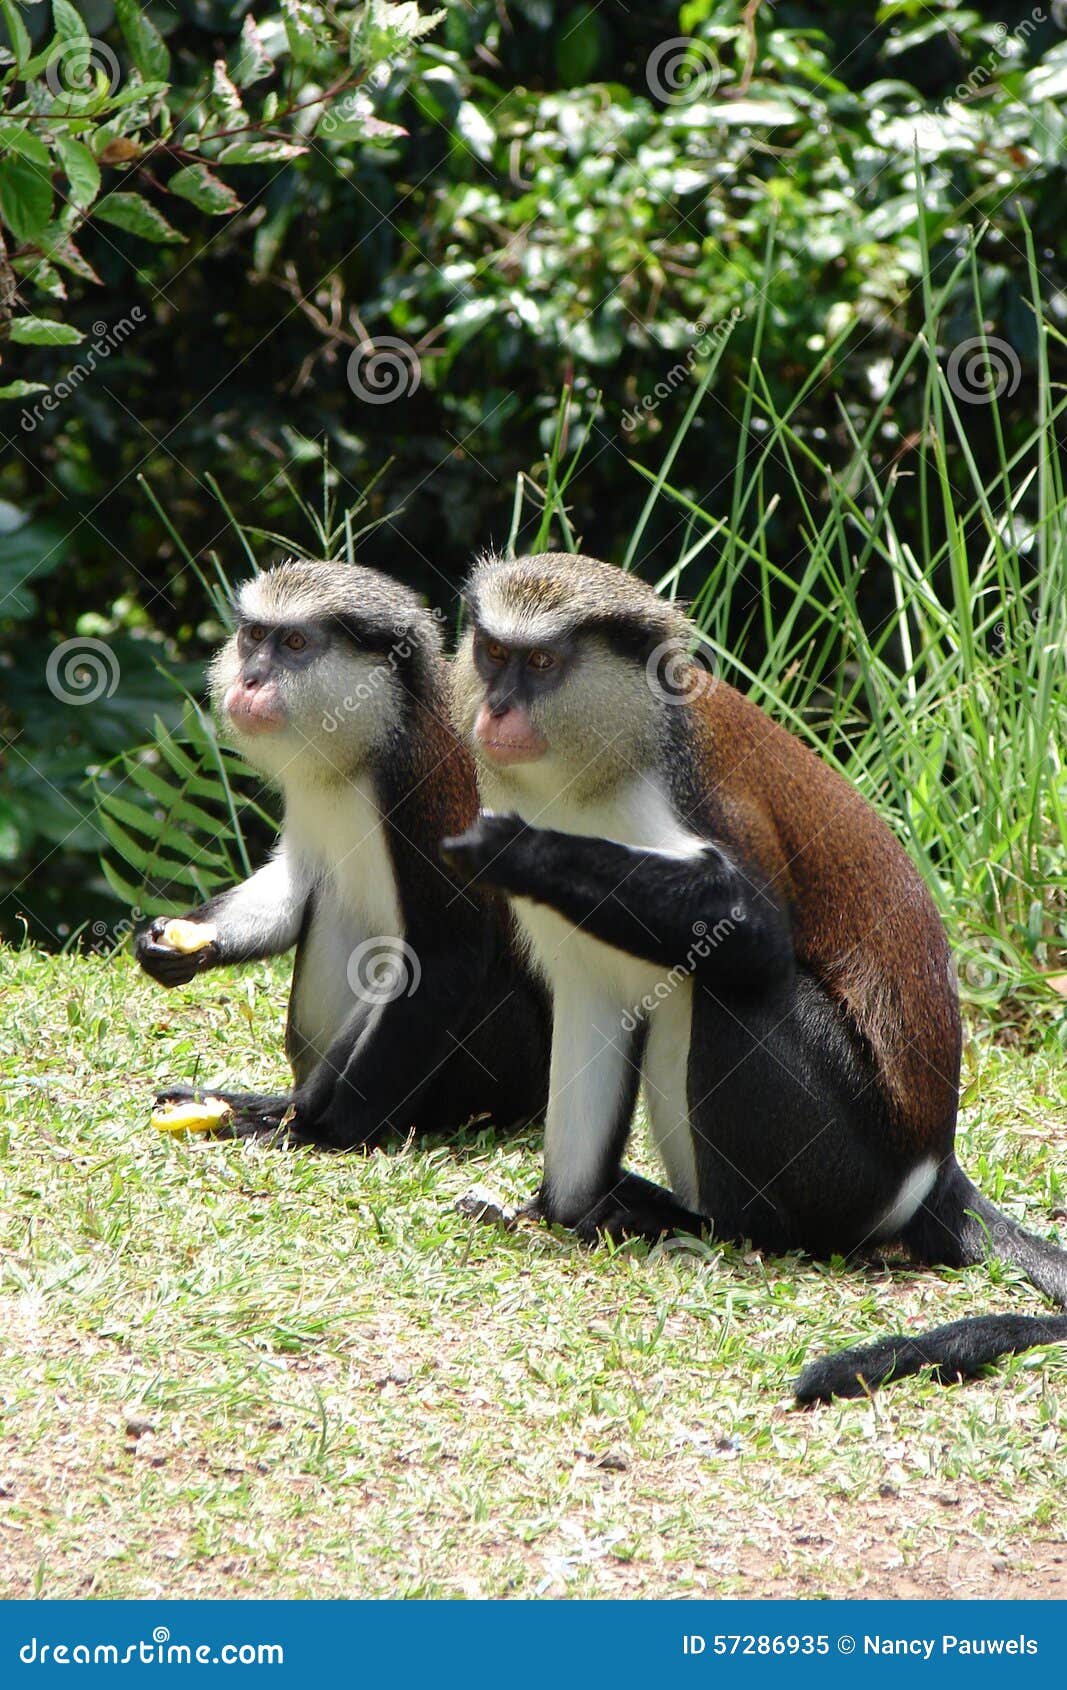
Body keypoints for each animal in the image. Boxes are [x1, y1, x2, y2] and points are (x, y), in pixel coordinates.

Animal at [135, 558, 549, 1150]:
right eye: (254, 636)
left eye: (294, 642)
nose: (249, 679)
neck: (362, 748)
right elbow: (294, 885)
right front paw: (169, 943)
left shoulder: (419, 783)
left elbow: (446, 952)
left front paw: (326, 1130)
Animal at [439, 550, 1067, 1399]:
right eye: (493, 654)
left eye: (540, 664)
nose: (497, 710)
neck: (606, 764)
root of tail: (937, 1174)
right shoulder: (582, 965)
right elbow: (594, 1002)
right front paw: (557, 1210)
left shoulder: (705, 806)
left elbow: (755, 937)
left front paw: (522, 851)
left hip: (845, 1173)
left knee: (737, 993)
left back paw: (710, 1227)